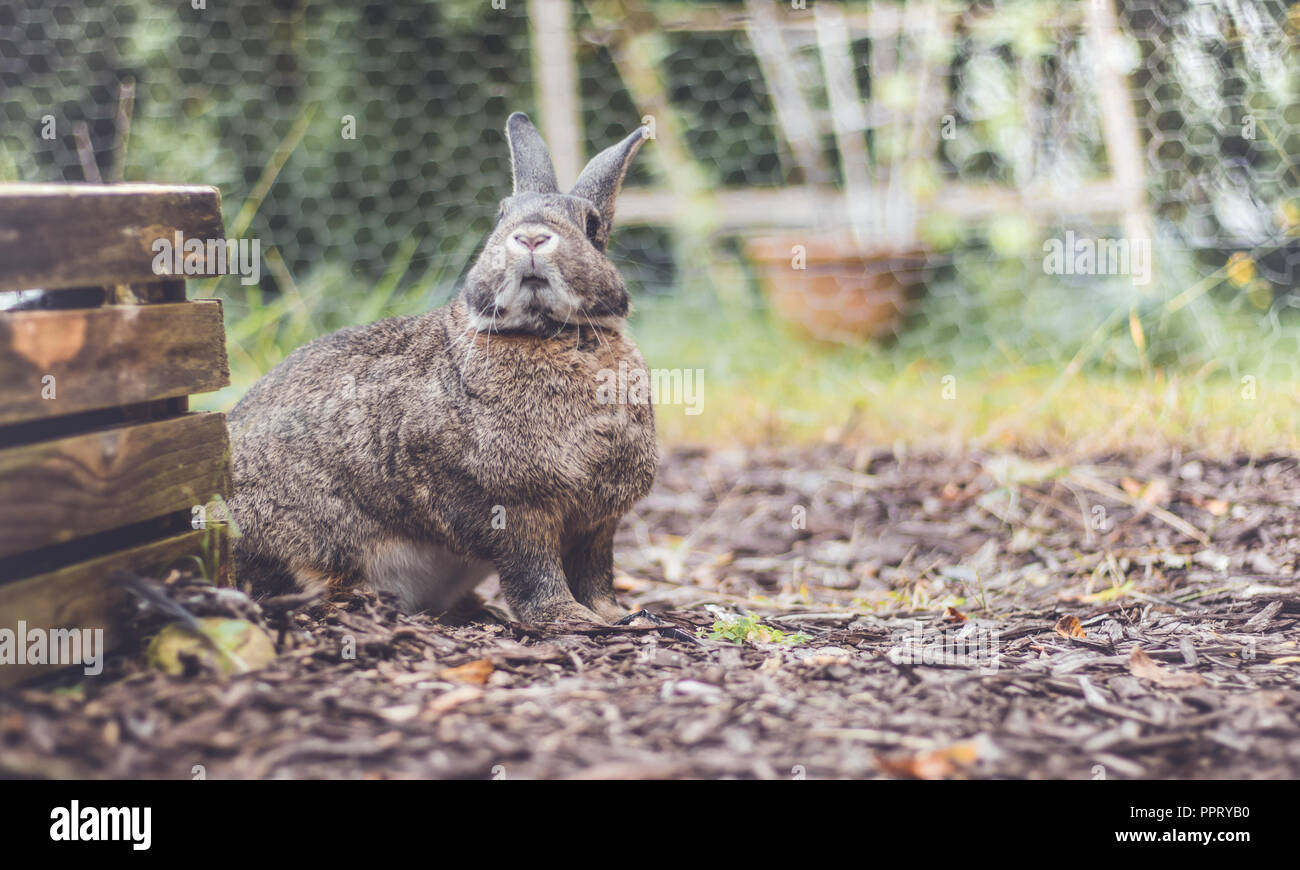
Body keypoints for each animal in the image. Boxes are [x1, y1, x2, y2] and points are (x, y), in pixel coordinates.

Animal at [227, 112, 658, 625]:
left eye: (591, 226)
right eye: (501, 216)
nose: (530, 238)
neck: (548, 333)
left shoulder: (598, 525)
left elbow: (595, 574)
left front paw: (616, 615)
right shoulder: (515, 509)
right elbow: (534, 572)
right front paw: (568, 618)